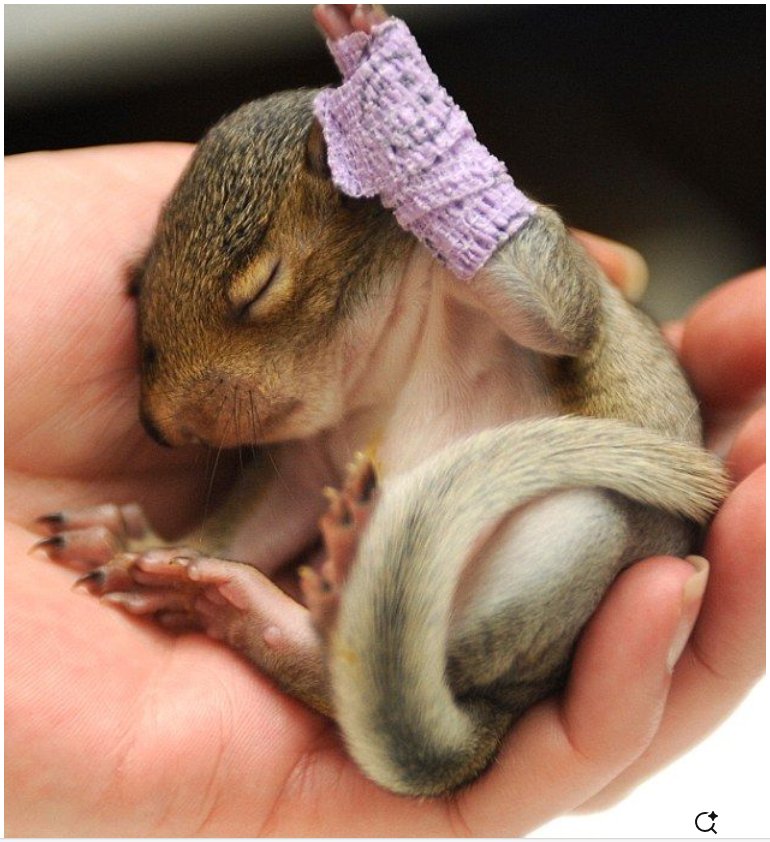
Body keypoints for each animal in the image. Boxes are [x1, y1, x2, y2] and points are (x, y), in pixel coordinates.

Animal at [33, 8, 728, 797]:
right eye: (135, 285)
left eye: (262, 285)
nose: (157, 427)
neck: (378, 368)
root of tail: (501, 713)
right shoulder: (310, 464)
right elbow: (250, 526)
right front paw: (145, 544)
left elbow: (562, 318)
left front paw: (378, 76)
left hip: (575, 535)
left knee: (429, 655)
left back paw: (342, 583)